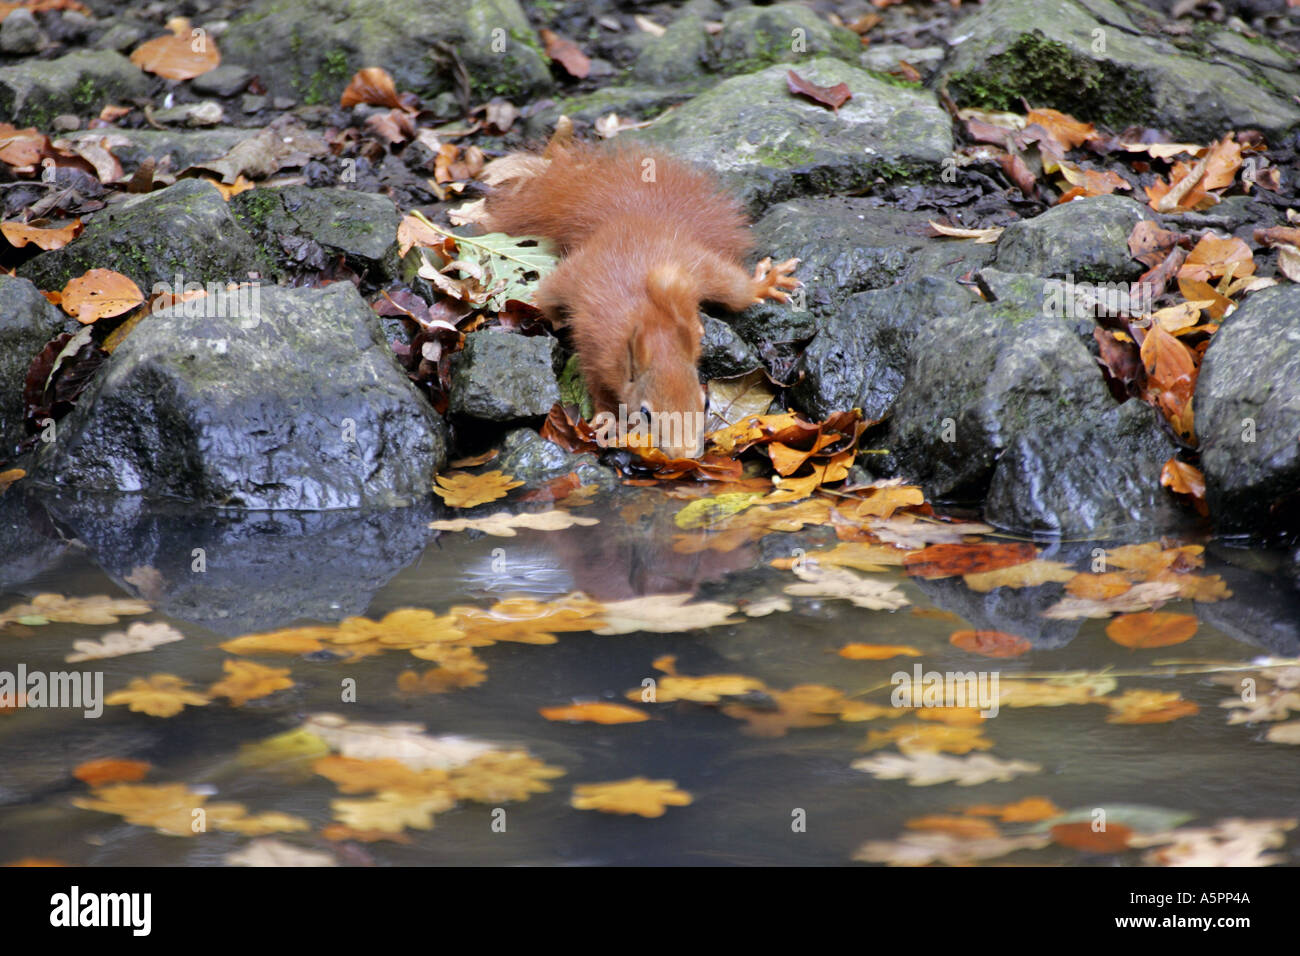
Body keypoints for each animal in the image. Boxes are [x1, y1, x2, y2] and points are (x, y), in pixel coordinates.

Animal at [482, 141, 799, 459]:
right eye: (646, 413)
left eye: (706, 402)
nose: (686, 454)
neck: (652, 327)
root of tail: (629, 217)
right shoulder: (596, 351)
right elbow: (598, 387)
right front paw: (607, 419)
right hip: (569, 277)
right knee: (550, 295)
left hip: (699, 264)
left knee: (734, 291)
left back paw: (763, 285)